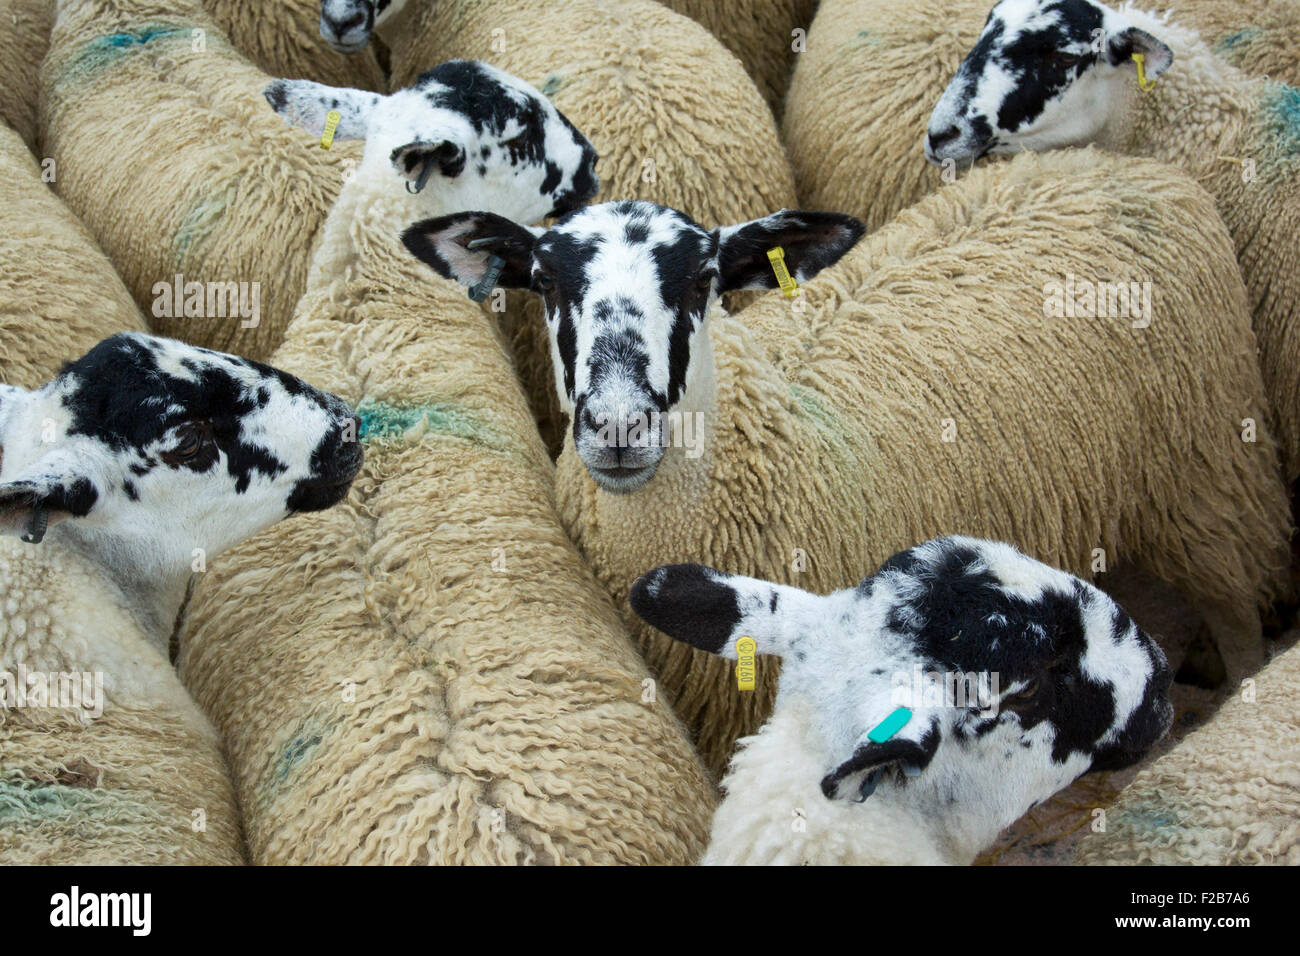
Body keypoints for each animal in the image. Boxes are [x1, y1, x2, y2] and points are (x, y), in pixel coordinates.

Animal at [404, 147, 1292, 775]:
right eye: (546, 281)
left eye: (701, 280)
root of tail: (1130, 165)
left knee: (1237, 608)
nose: (618, 427)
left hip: (1206, 465)